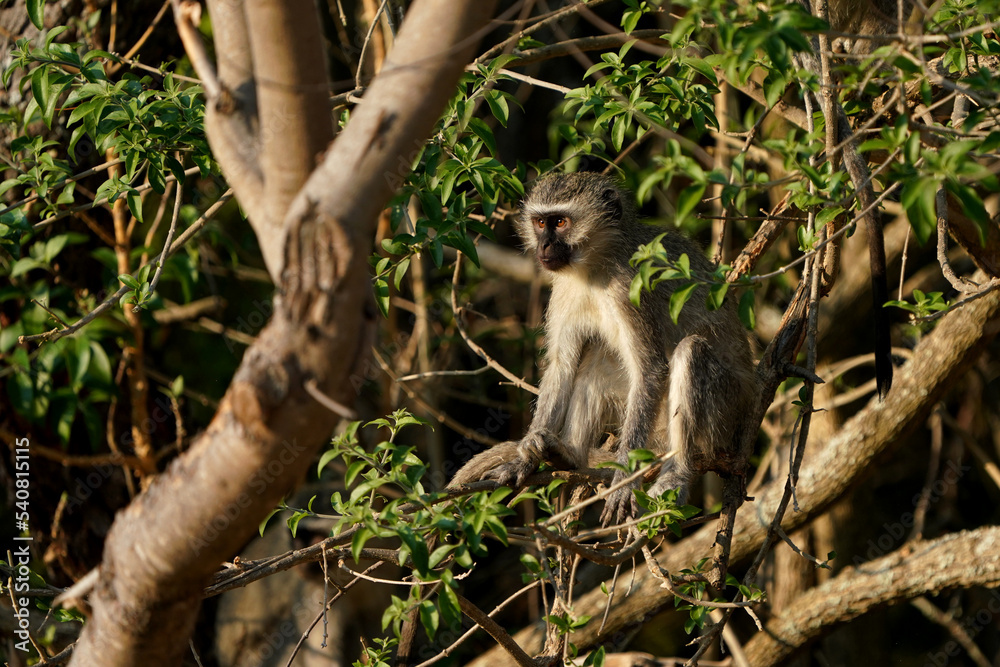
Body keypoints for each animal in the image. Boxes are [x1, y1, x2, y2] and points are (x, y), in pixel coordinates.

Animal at [450, 172, 760, 524]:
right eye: (541, 223)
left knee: (690, 352)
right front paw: (522, 463)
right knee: (594, 366)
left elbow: (650, 369)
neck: (593, 268)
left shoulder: (630, 286)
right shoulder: (563, 290)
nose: (543, 247)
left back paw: (678, 472)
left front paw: (624, 482)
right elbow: (562, 366)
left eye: (560, 222)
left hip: (726, 412)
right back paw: (569, 454)